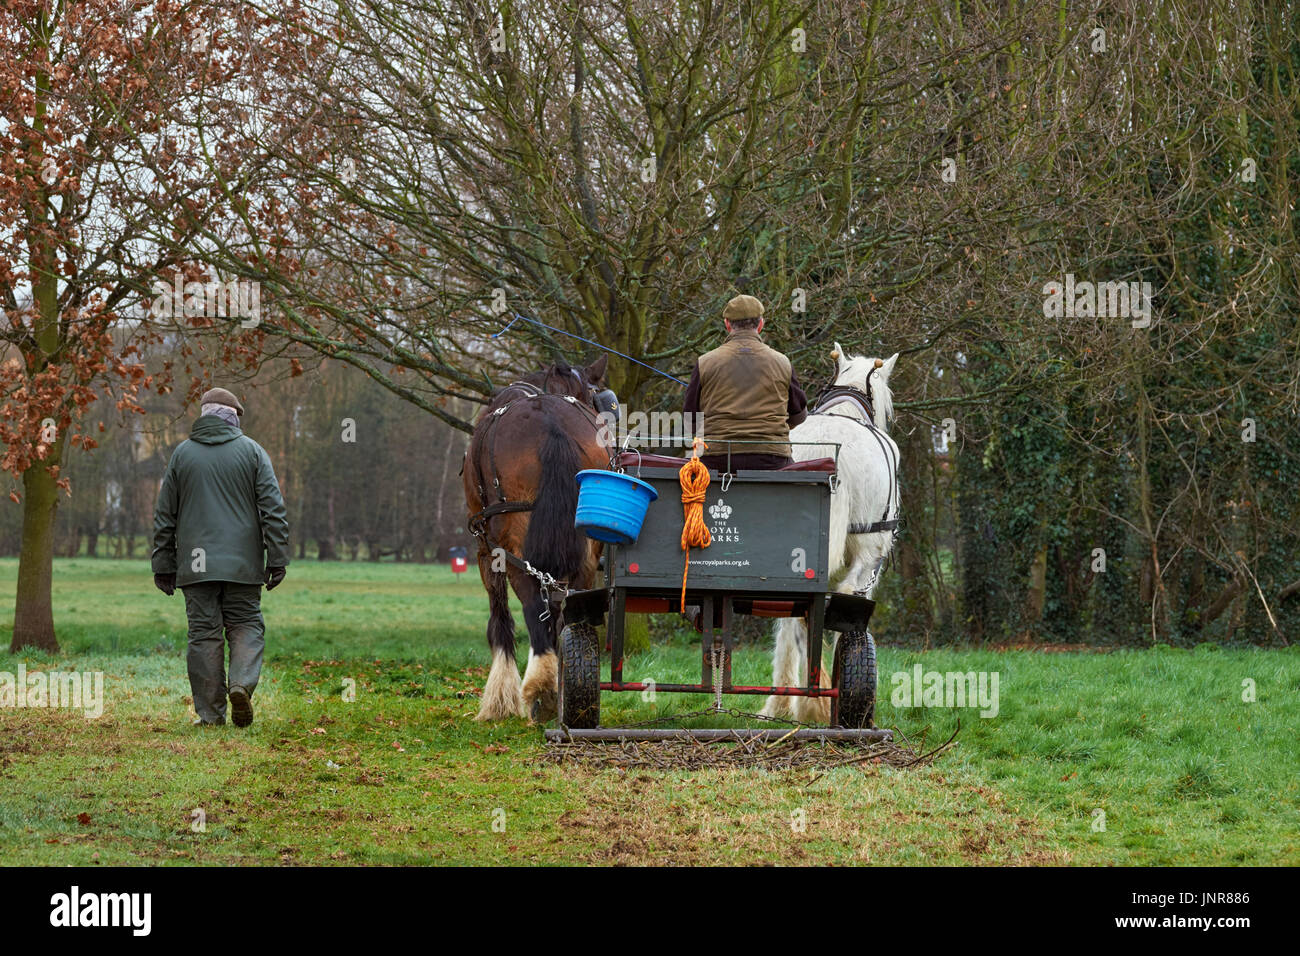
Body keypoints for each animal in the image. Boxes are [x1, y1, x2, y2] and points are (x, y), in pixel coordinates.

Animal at [462, 355, 614, 722]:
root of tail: (551, 422)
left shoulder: (484, 548)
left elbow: (500, 618)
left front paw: (500, 699)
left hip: (510, 544)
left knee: (532, 605)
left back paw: (541, 690)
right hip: (586, 547)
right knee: (571, 604)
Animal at [760, 343, 901, 724]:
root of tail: (823, 449)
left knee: (794, 616)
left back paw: (792, 699)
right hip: (866, 553)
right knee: (842, 604)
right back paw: (818, 699)